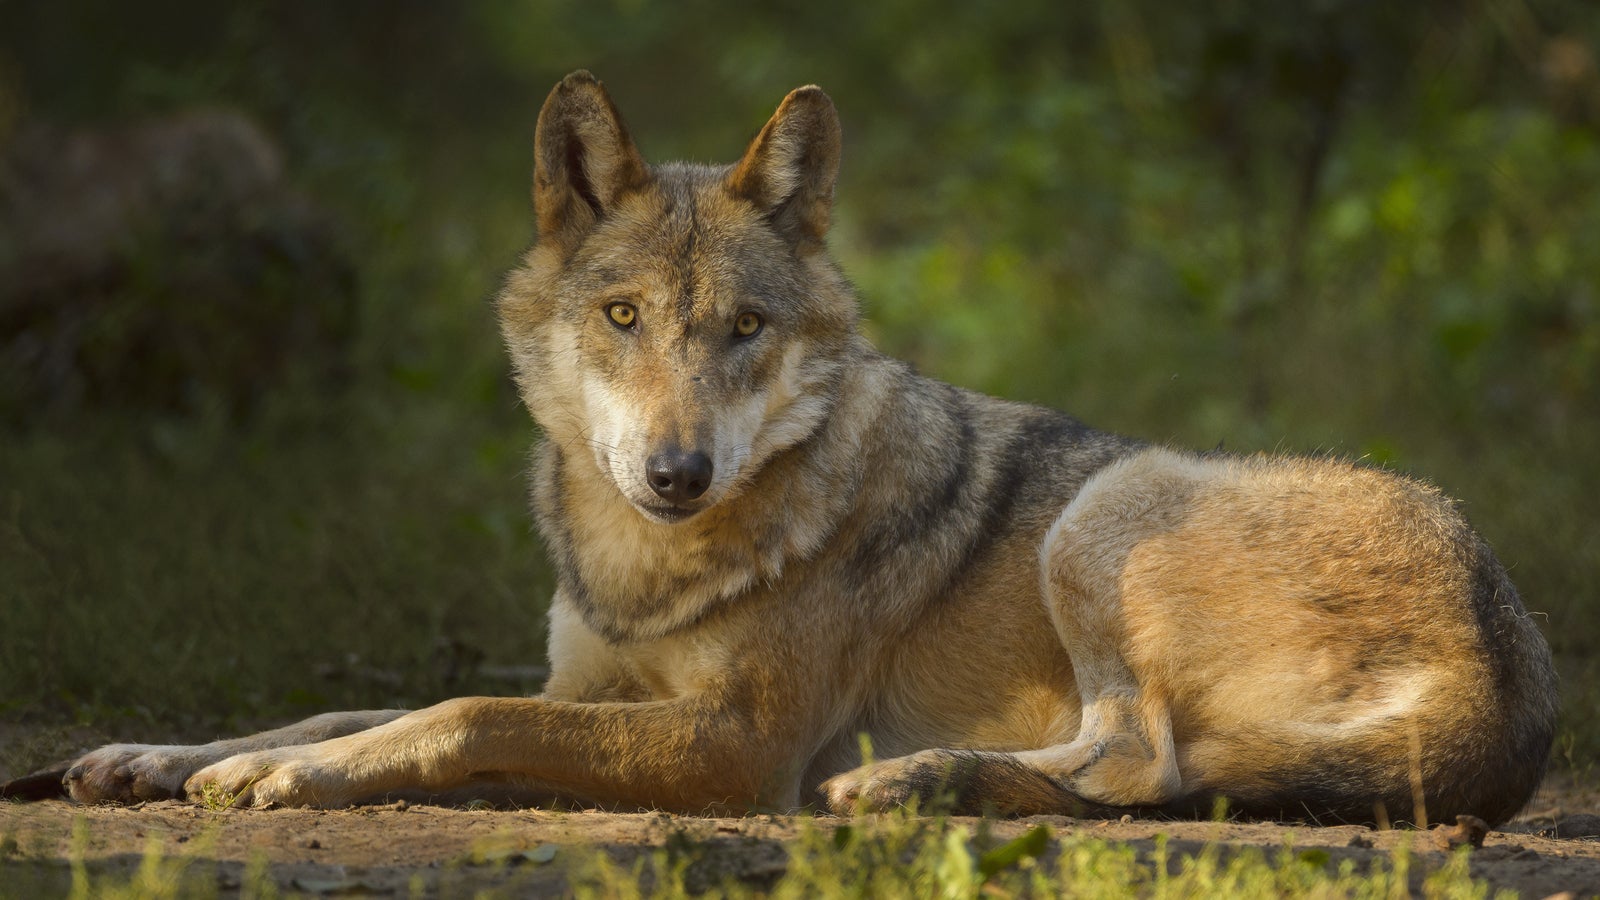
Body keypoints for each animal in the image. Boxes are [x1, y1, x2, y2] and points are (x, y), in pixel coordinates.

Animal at [44, 71, 1557, 827]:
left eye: (746, 328)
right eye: (624, 318)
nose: (676, 474)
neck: (647, 565)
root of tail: (1516, 663)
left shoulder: (736, 744)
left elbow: (464, 714)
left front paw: (281, 780)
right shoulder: (589, 686)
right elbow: (354, 711)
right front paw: (162, 758)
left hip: (1109, 509)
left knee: (1141, 772)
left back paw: (902, 784)